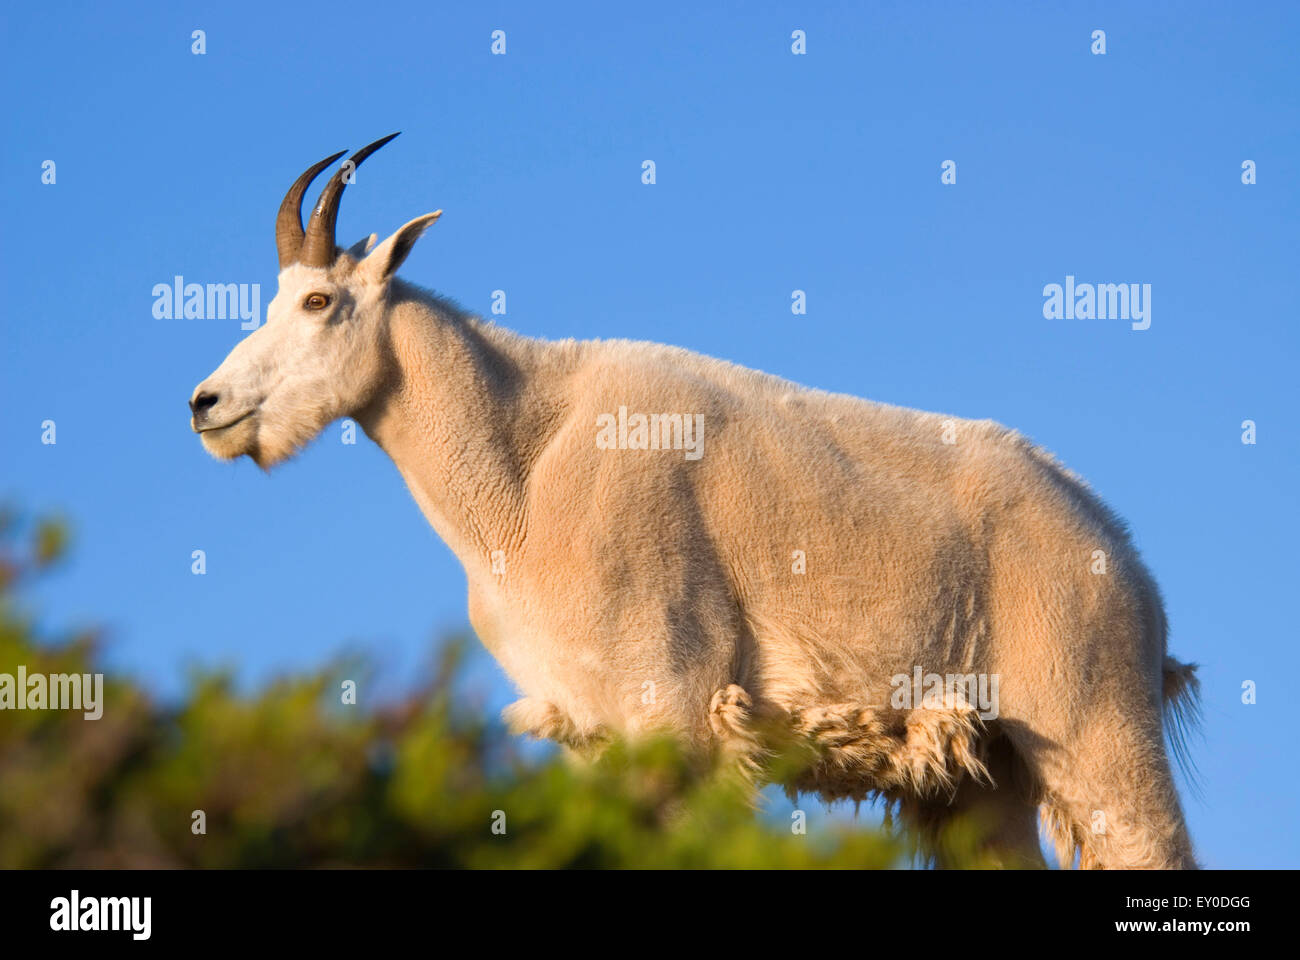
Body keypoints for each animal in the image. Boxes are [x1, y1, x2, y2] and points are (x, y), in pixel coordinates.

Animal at [191, 134, 1201, 868]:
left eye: (318, 302)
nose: (206, 404)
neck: (525, 466)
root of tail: (1133, 564)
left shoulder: (674, 712)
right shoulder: (591, 731)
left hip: (1098, 728)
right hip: (976, 781)